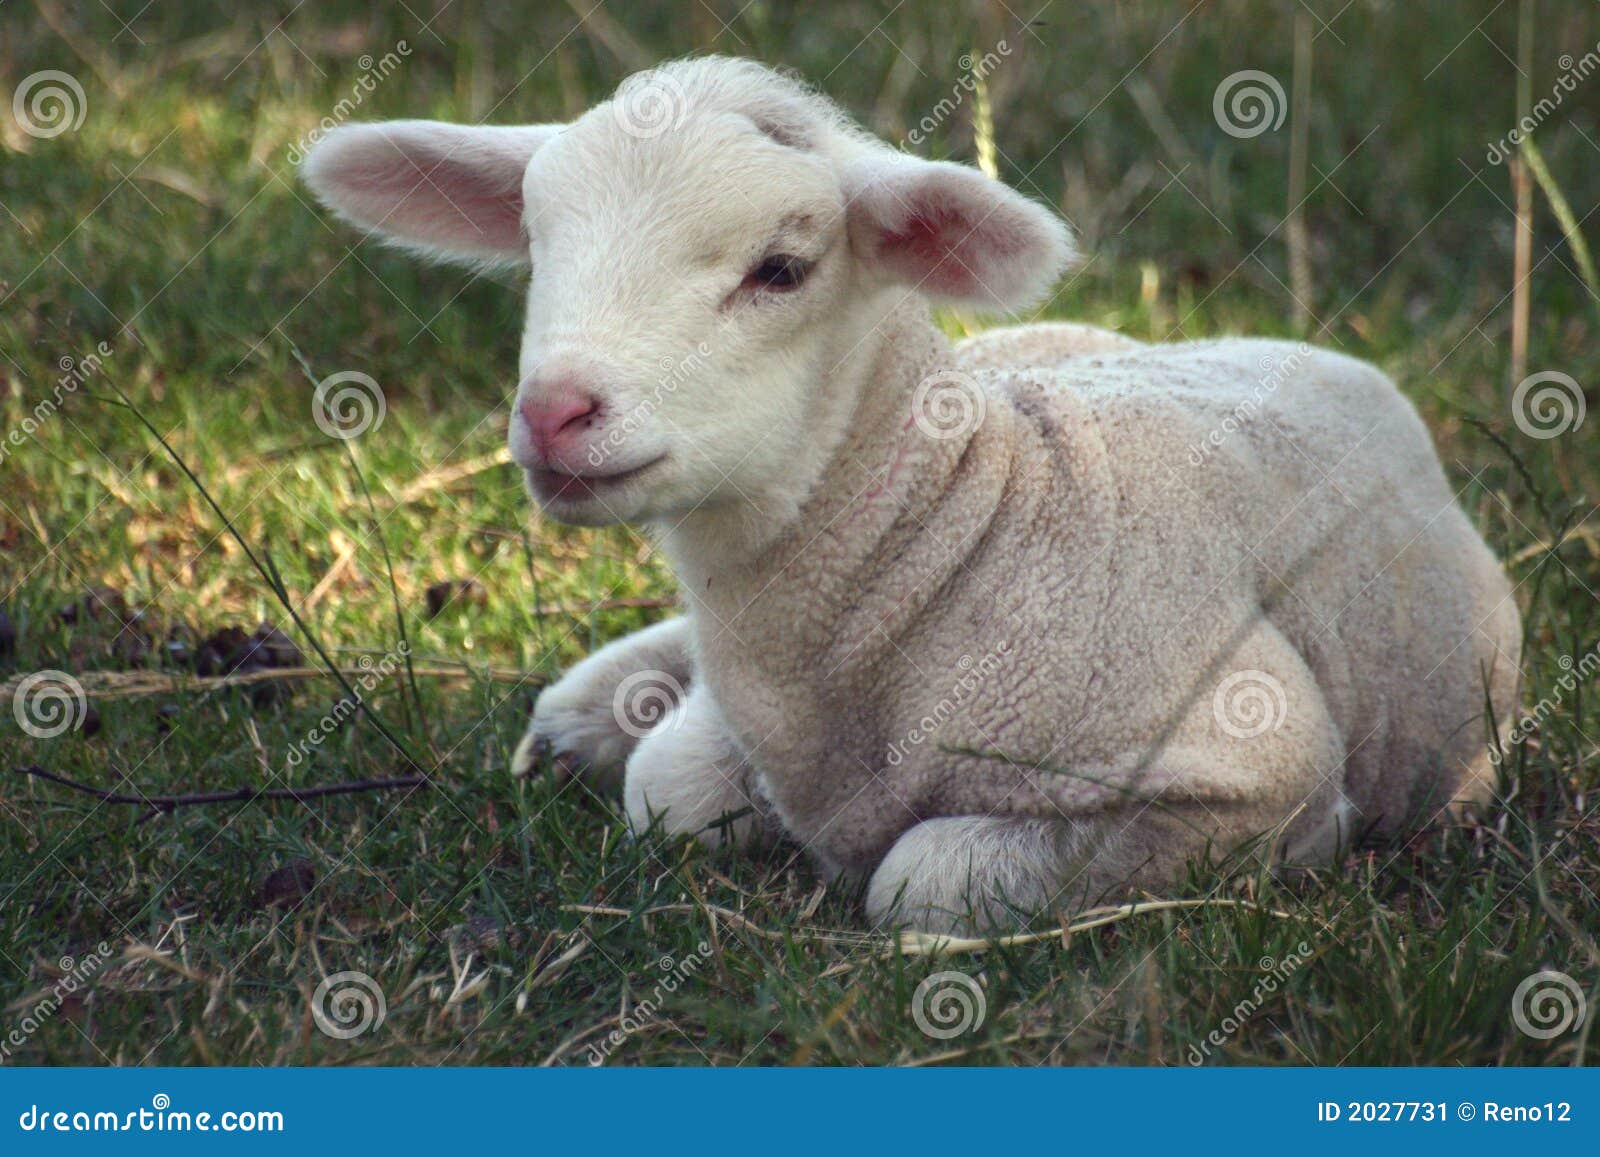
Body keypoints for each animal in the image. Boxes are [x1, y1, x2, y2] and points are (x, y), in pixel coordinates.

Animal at [302, 56, 1522, 934]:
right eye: (535, 241)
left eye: (781, 269)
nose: (554, 410)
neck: (964, 528)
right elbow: (668, 790)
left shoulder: (1252, 764)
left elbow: (916, 876)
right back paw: (586, 707)